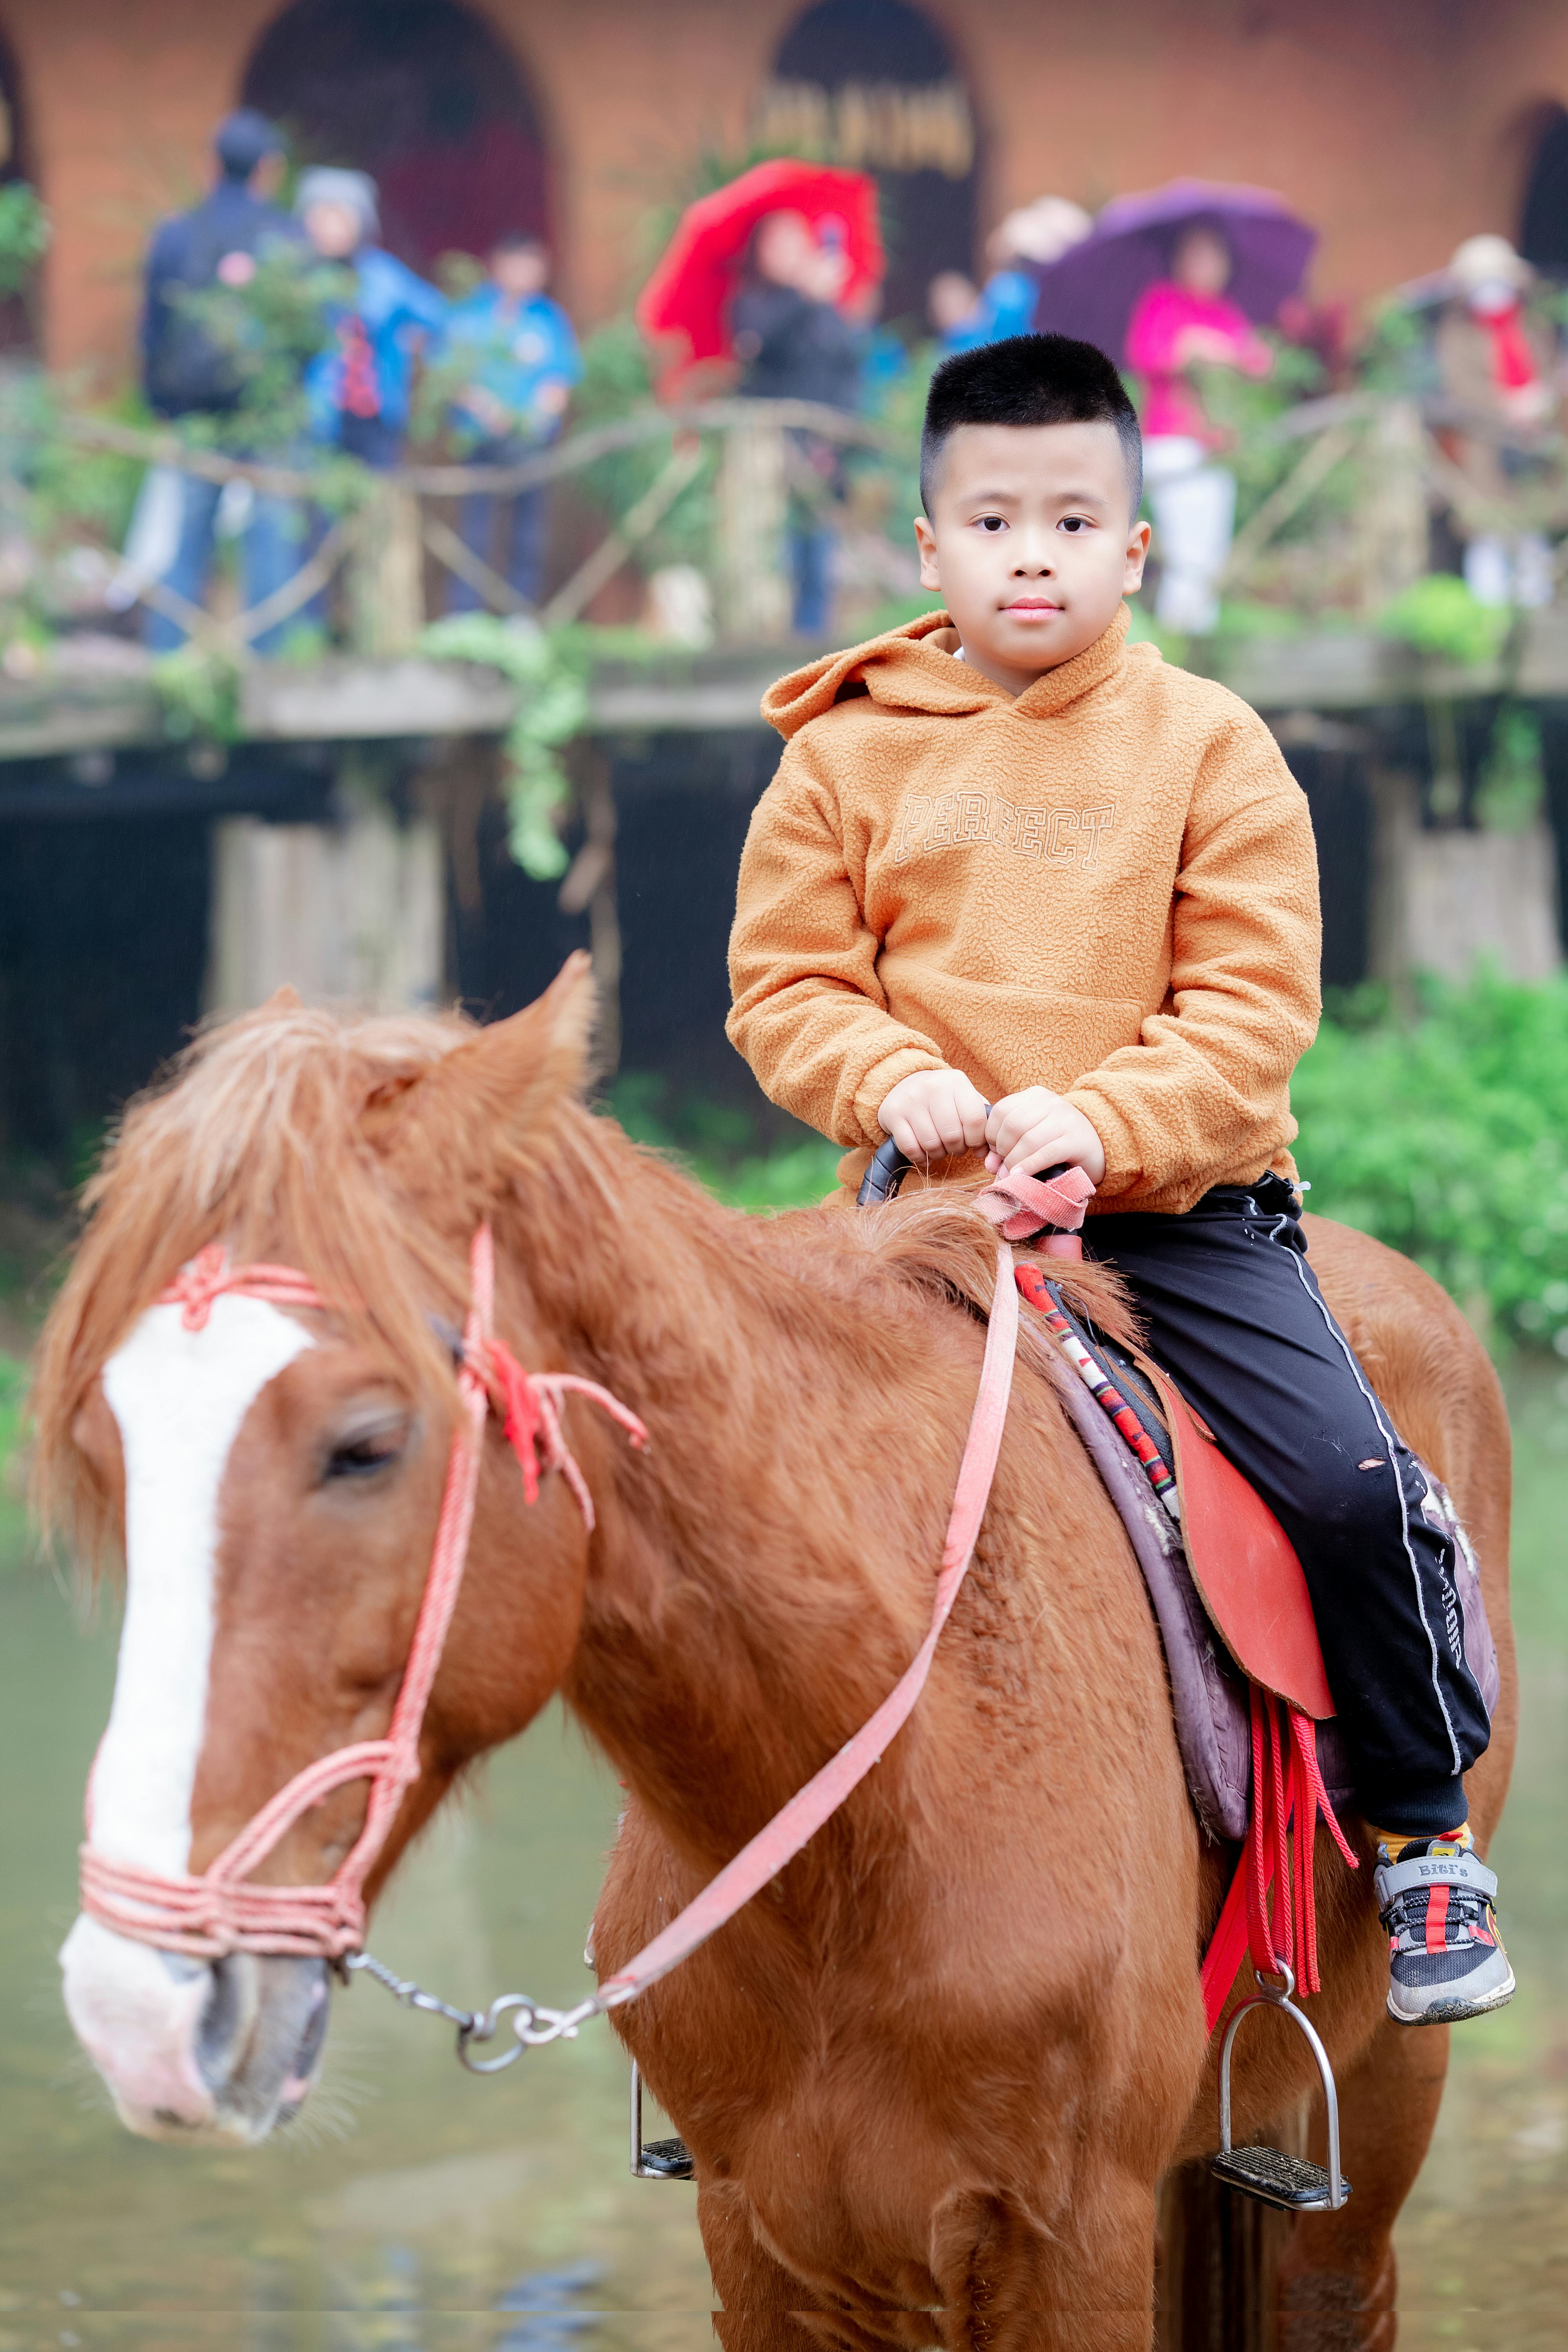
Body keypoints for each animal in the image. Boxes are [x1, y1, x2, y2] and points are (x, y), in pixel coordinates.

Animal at [35, 957, 1515, 2350]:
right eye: (109, 1446)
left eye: (364, 1445)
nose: (134, 2009)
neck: (885, 1809)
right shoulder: (773, 2235)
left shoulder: (1070, 2232)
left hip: (1369, 2119)